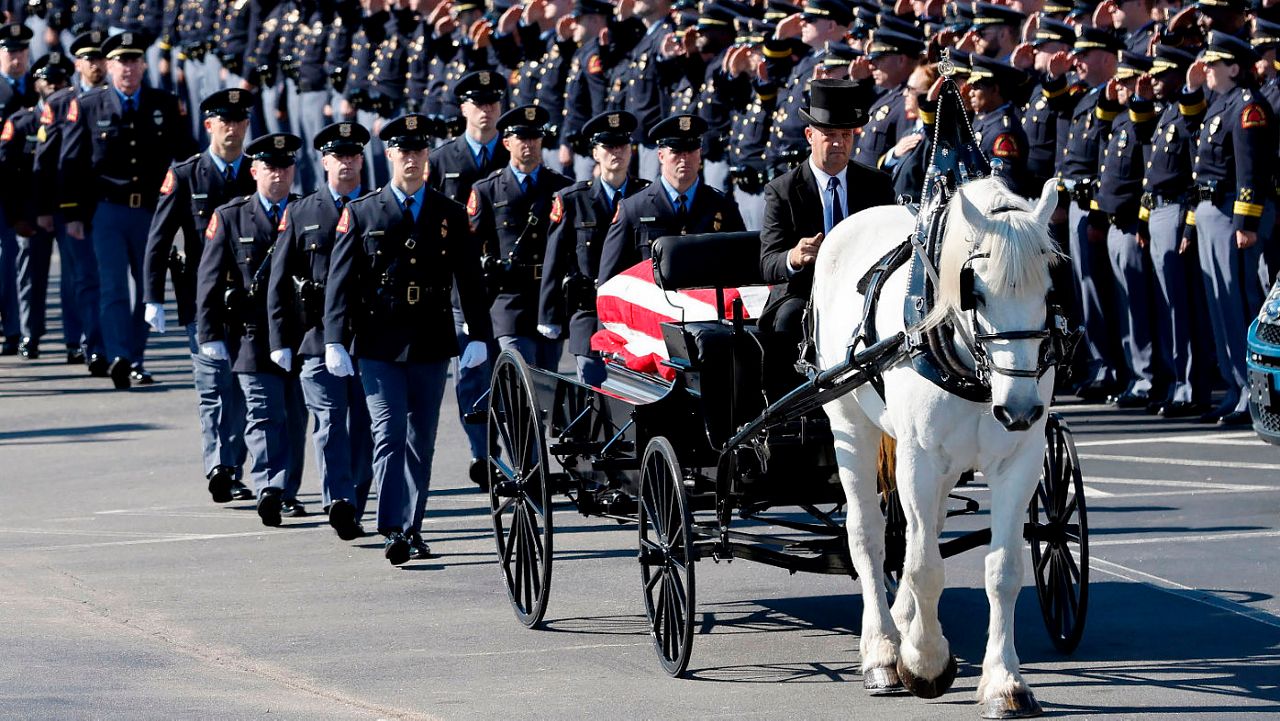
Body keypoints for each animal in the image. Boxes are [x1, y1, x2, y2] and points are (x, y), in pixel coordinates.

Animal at [808, 178, 1059, 717]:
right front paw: (924, 662)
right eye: (975, 292)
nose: (1020, 408)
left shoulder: (1020, 461)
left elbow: (1003, 570)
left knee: (924, 530)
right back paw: (883, 653)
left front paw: (1005, 682)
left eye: (1049, 291)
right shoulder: (919, 458)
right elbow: (925, 566)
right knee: (868, 535)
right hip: (850, 427)